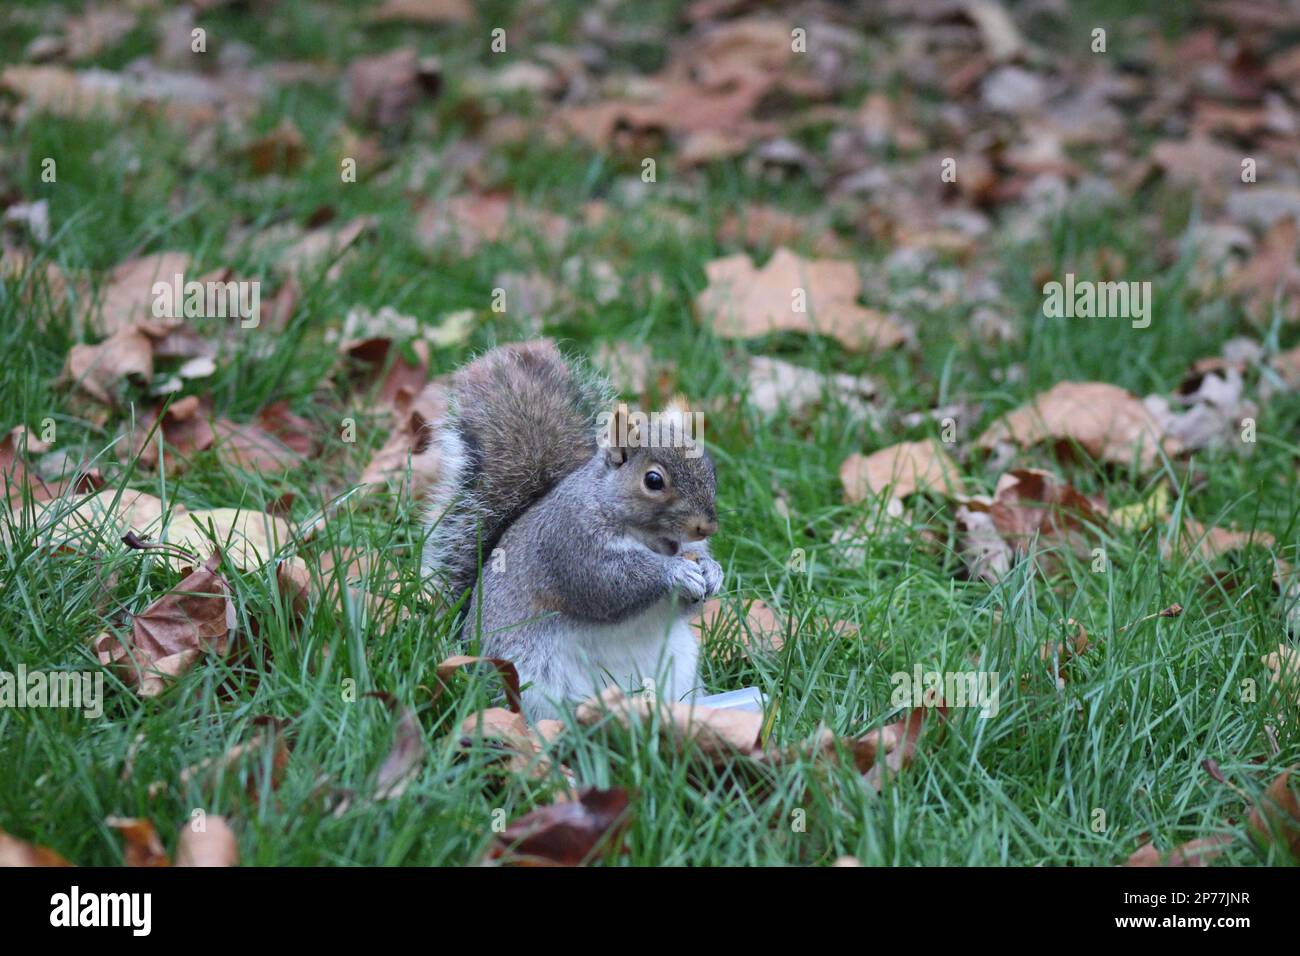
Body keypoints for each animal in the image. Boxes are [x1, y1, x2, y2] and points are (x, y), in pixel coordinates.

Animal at [423, 339, 723, 720]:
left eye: (710, 468)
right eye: (653, 480)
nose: (707, 527)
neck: (651, 538)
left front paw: (713, 571)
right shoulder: (569, 542)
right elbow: (606, 583)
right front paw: (674, 573)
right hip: (531, 679)